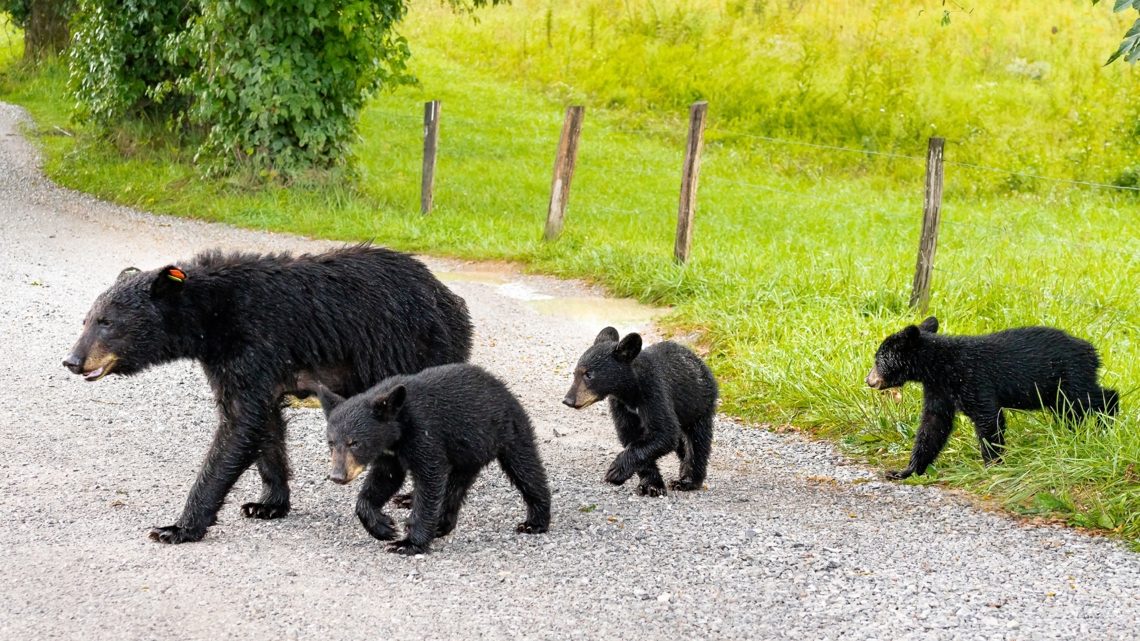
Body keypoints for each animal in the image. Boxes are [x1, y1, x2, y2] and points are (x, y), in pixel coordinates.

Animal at [62, 244, 473, 543]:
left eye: (107, 322)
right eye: (85, 320)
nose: (72, 360)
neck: (214, 318)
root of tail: (451, 298)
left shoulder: (256, 343)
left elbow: (239, 426)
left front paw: (177, 527)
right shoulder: (241, 365)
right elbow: (265, 424)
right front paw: (269, 503)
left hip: (421, 350)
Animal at [317, 364, 551, 555]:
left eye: (355, 443)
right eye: (331, 442)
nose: (337, 476)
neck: (399, 426)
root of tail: (506, 390)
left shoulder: (424, 433)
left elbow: (429, 478)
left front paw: (407, 544)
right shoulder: (390, 453)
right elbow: (385, 479)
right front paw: (383, 527)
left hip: (509, 431)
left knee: (525, 469)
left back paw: (535, 522)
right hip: (468, 453)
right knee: (455, 487)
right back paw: (436, 521)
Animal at [562, 327, 718, 497]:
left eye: (589, 374)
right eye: (575, 373)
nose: (568, 400)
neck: (631, 391)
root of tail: (702, 363)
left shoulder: (654, 392)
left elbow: (664, 432)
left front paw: (616, 470)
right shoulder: (620, 404)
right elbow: (630, 433)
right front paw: (650, 485)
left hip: (699, 405)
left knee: (696, 442)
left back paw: (687, 481)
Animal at [866, 316, 1119, 480]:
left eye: (878, 359)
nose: (868, 380)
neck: (941, 366)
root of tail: (1092, 350)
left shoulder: (973, 379)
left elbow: (988, 419)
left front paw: (992, 466)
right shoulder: (938, 389)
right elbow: (933, 424)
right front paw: (905, 471)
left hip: (1068, 376)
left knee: (1090, 399)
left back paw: (1109, 420)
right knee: (1071, 410)